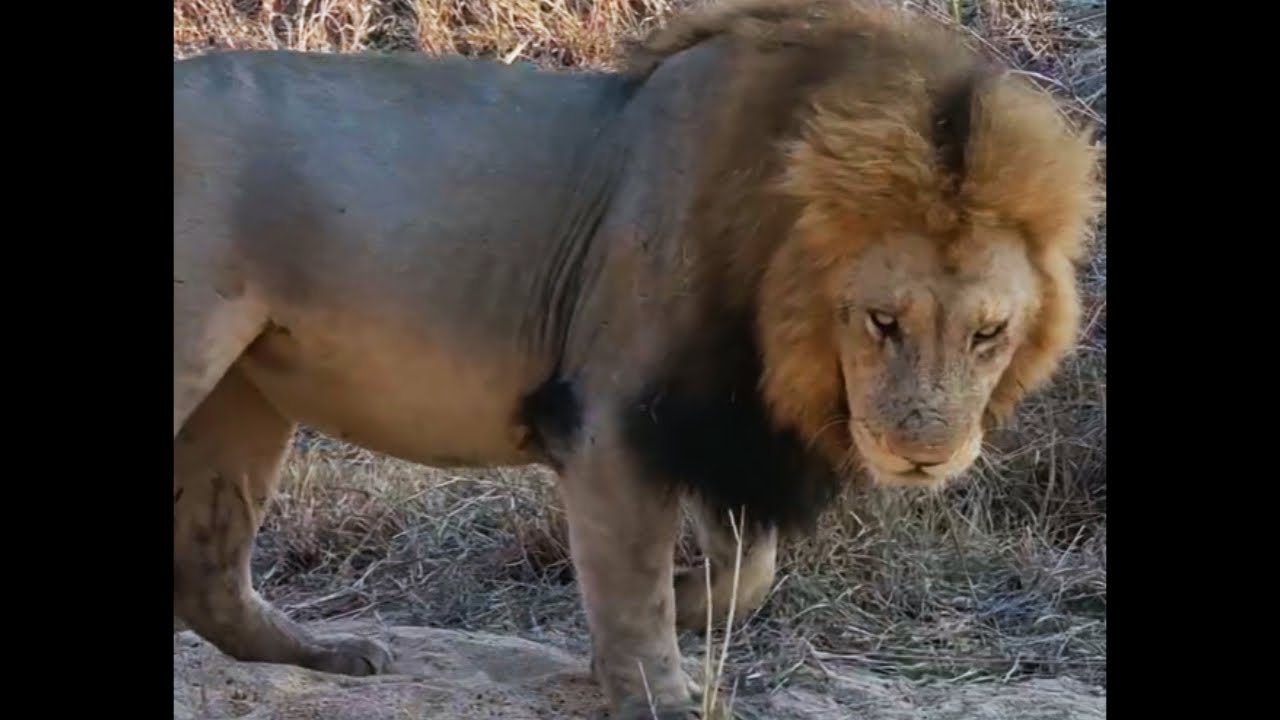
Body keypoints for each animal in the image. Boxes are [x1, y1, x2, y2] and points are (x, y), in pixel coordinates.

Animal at [173, 0, 1100, 717]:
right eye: (882, 320)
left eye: (987, 333)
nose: (922, 455)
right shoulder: (613, 421)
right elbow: (632, 577)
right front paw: (660, 692)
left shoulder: (726, 427)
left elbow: (747, 572)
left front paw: (682, 617)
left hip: (245, 395)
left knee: (208, 568)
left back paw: (322, 655)